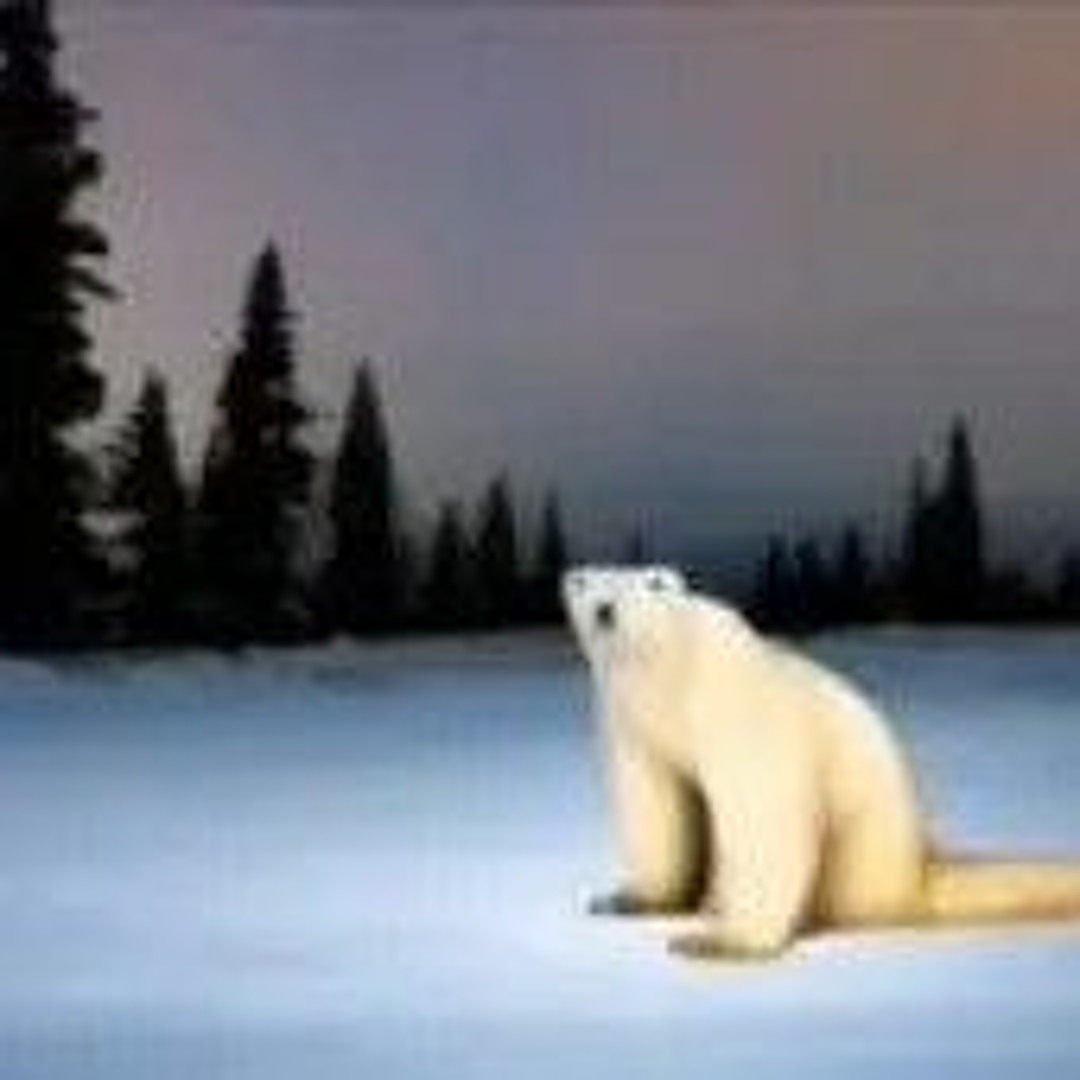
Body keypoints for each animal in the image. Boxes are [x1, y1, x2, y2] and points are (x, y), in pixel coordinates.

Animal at [562, 564, 1080, 961]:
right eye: (588, 581)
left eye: (648, 584)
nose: (605, 610)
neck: (667, 680)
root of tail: (916, 867)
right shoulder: (635, 727)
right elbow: (659, 803)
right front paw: (626, 899)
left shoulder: (735, 709)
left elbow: (764, 812)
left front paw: (718, 940)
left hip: (856, 852)